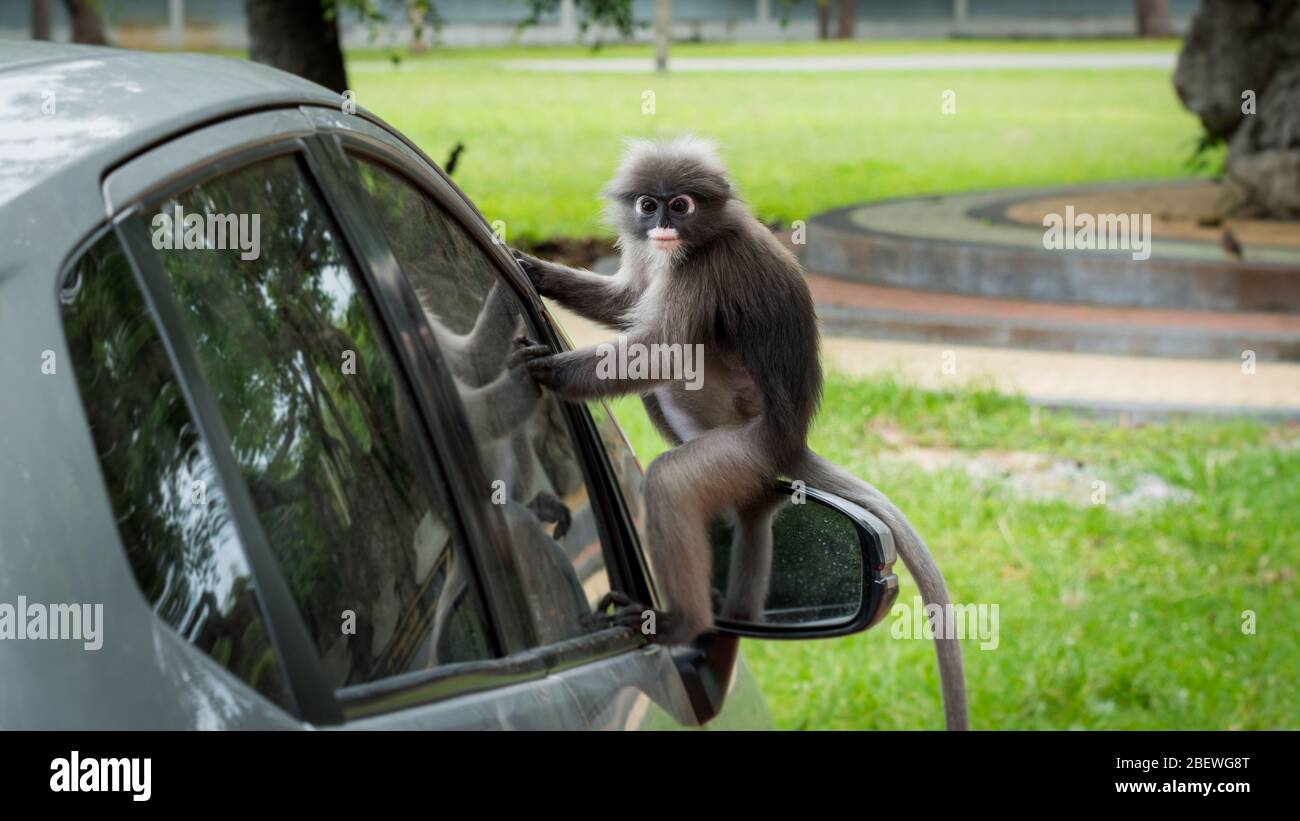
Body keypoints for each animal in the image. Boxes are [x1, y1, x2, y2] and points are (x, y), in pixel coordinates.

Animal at [513, 136, 968, 730]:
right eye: (647, 205)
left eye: (680, 205)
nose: (662, 224)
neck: (690, 244)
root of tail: (789, 441)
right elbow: (627, 301)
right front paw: (536, 270)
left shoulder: (706, 268)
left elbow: (659, 350)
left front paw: (552, 370)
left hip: (740, 442)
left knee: (673, 468)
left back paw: (679, 623)